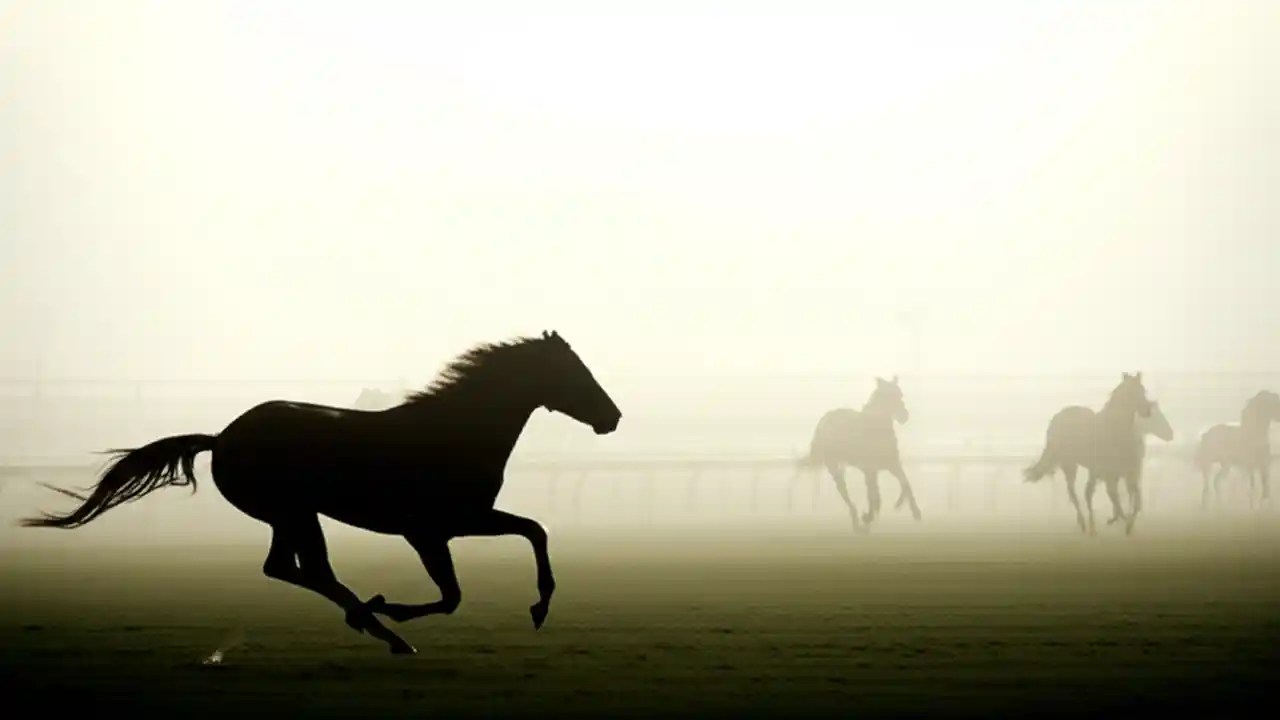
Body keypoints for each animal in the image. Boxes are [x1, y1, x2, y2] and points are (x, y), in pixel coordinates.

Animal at [21, 330, 622, 655]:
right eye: (574, 371)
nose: (612, 417)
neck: (453, 431)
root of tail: (222, 437)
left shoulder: (462, 520)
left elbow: (533, 530)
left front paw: (540, 606)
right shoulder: (430, 529)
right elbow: (454, 593)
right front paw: (394, 608)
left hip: (292, 514)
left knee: (288, 568)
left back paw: (374, 624)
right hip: (293, 511)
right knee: (306, 570)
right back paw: (381, 627)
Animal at [795, 376, 920, 533]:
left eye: (900, 395)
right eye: (890, 396)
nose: (904, 416)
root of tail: (824, 420)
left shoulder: (892, 464)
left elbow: (905, 483)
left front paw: (912, 510)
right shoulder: (870, 469)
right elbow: (874, 494)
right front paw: (868, 517)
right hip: (834, 467)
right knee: (845, 492)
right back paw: (858, 522)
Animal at [1022, 372, 1154, 536]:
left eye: (1143, 390)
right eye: (1132, 393)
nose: (1147, 411)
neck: (1116, 430)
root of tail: (1056, 419)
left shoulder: (1128, 472)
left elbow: (1135, 501)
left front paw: (1126, 524)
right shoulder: (1111, 473)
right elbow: (1116, 498)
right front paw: (1123, 522)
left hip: (1092, 469)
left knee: (1088, 493)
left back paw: (1092, 524)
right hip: (1070, 465)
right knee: (1074, 493)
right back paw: (1085, 524)